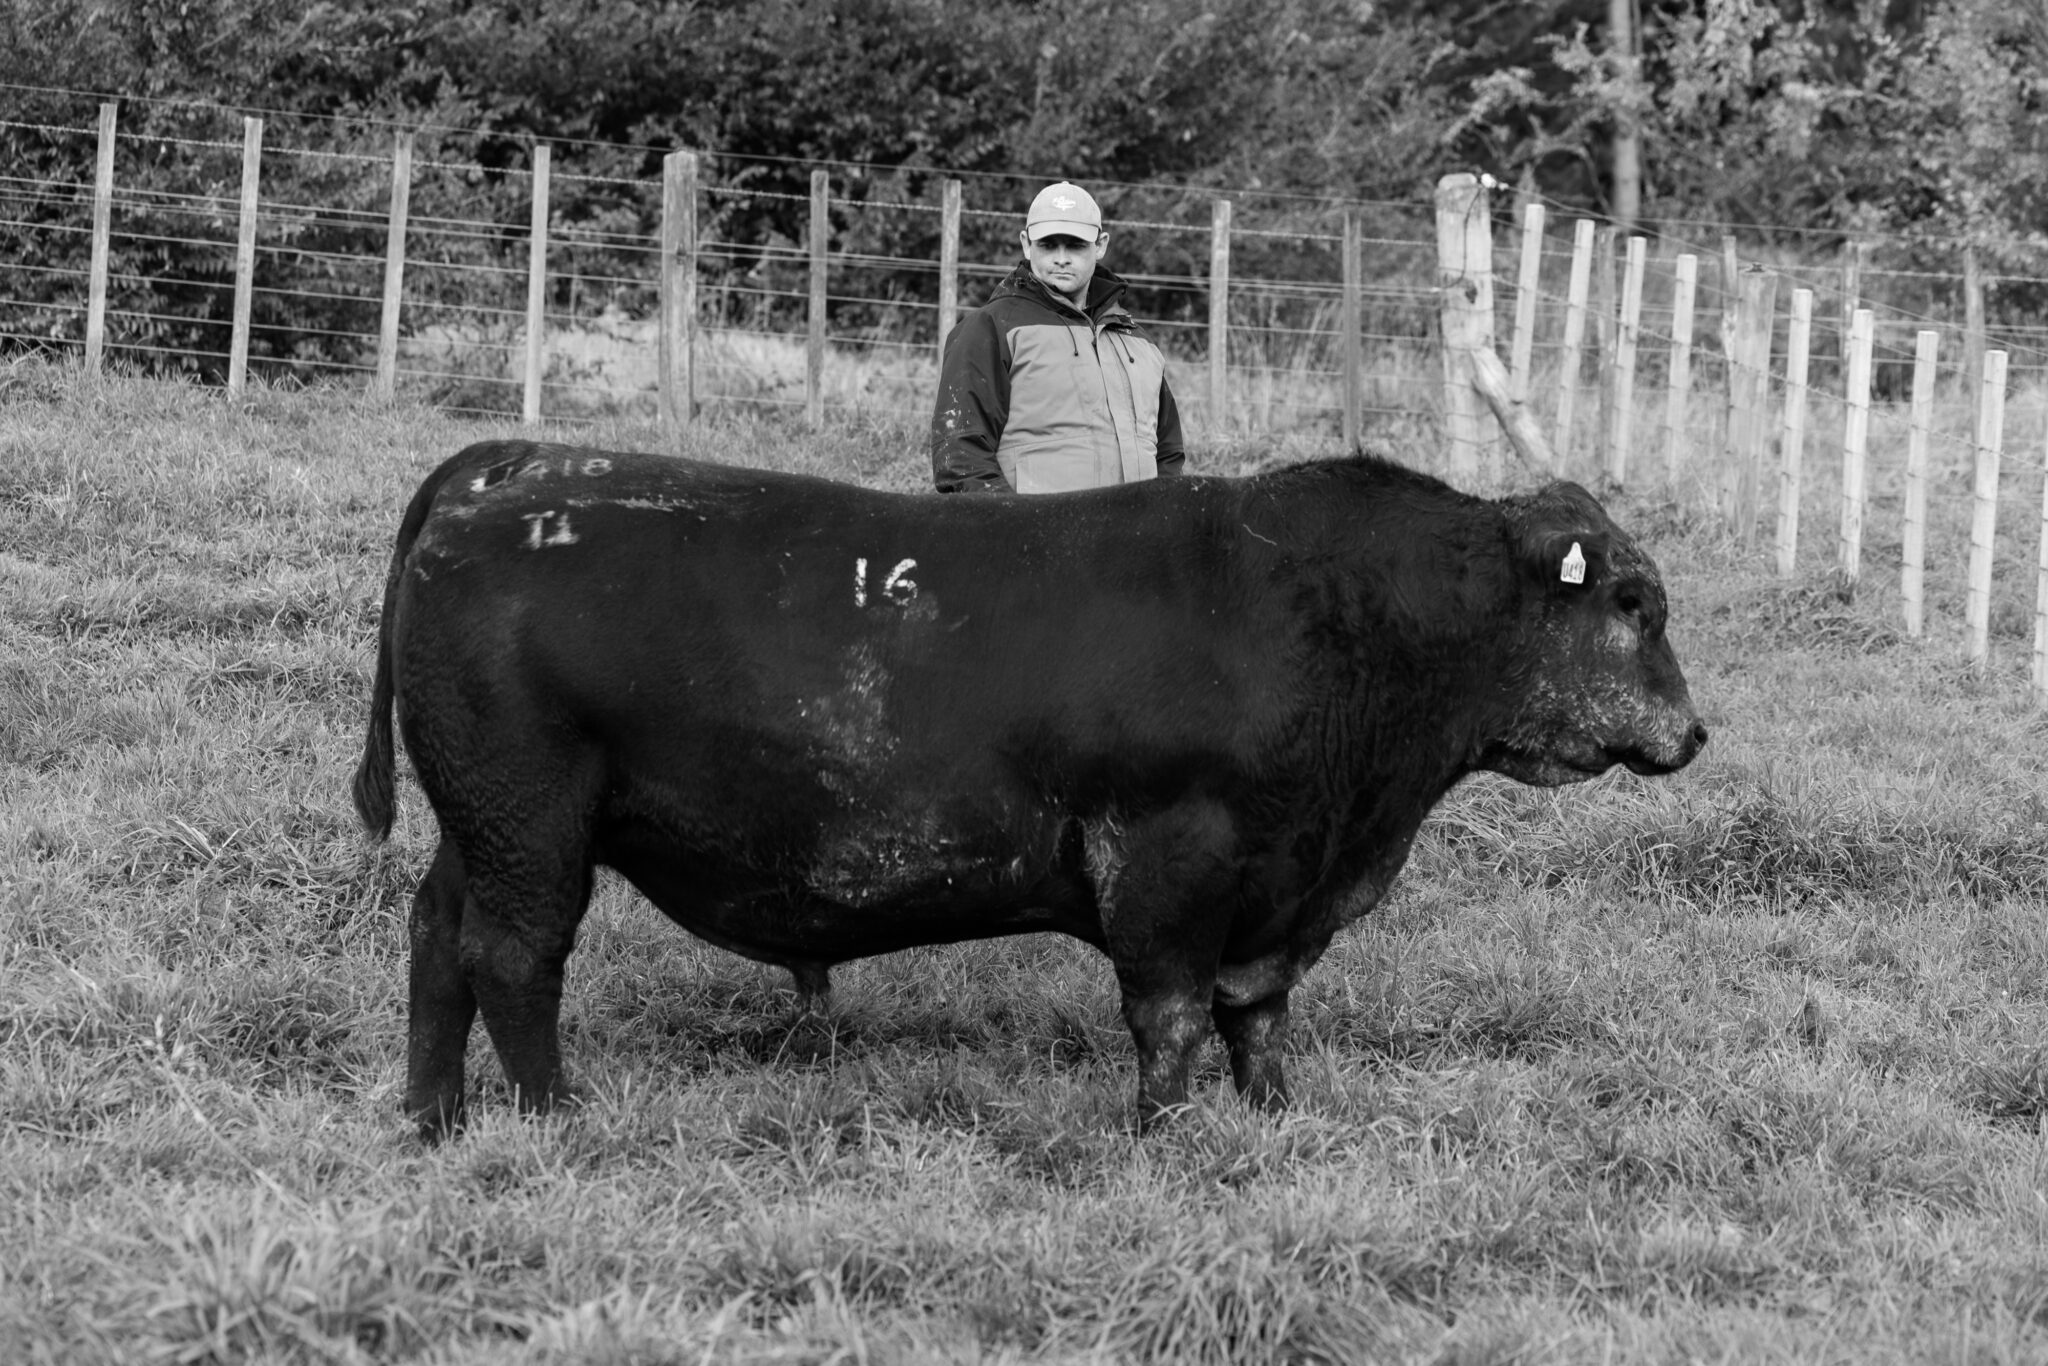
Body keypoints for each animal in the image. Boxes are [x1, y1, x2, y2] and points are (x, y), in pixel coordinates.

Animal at [353, 439, 1706, 1141]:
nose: (1692, 732)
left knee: (436, 937)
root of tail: (510, 470)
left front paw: (1273, 1121)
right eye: (1630, 600)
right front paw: (1164, 1141)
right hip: (533, 820)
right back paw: (554, 1116)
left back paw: (435, 1115)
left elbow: (1257, 1015)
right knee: (514, 956)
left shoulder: (1276, 892)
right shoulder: (1171, 859)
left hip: (481, 823)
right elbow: (1170, 1016)